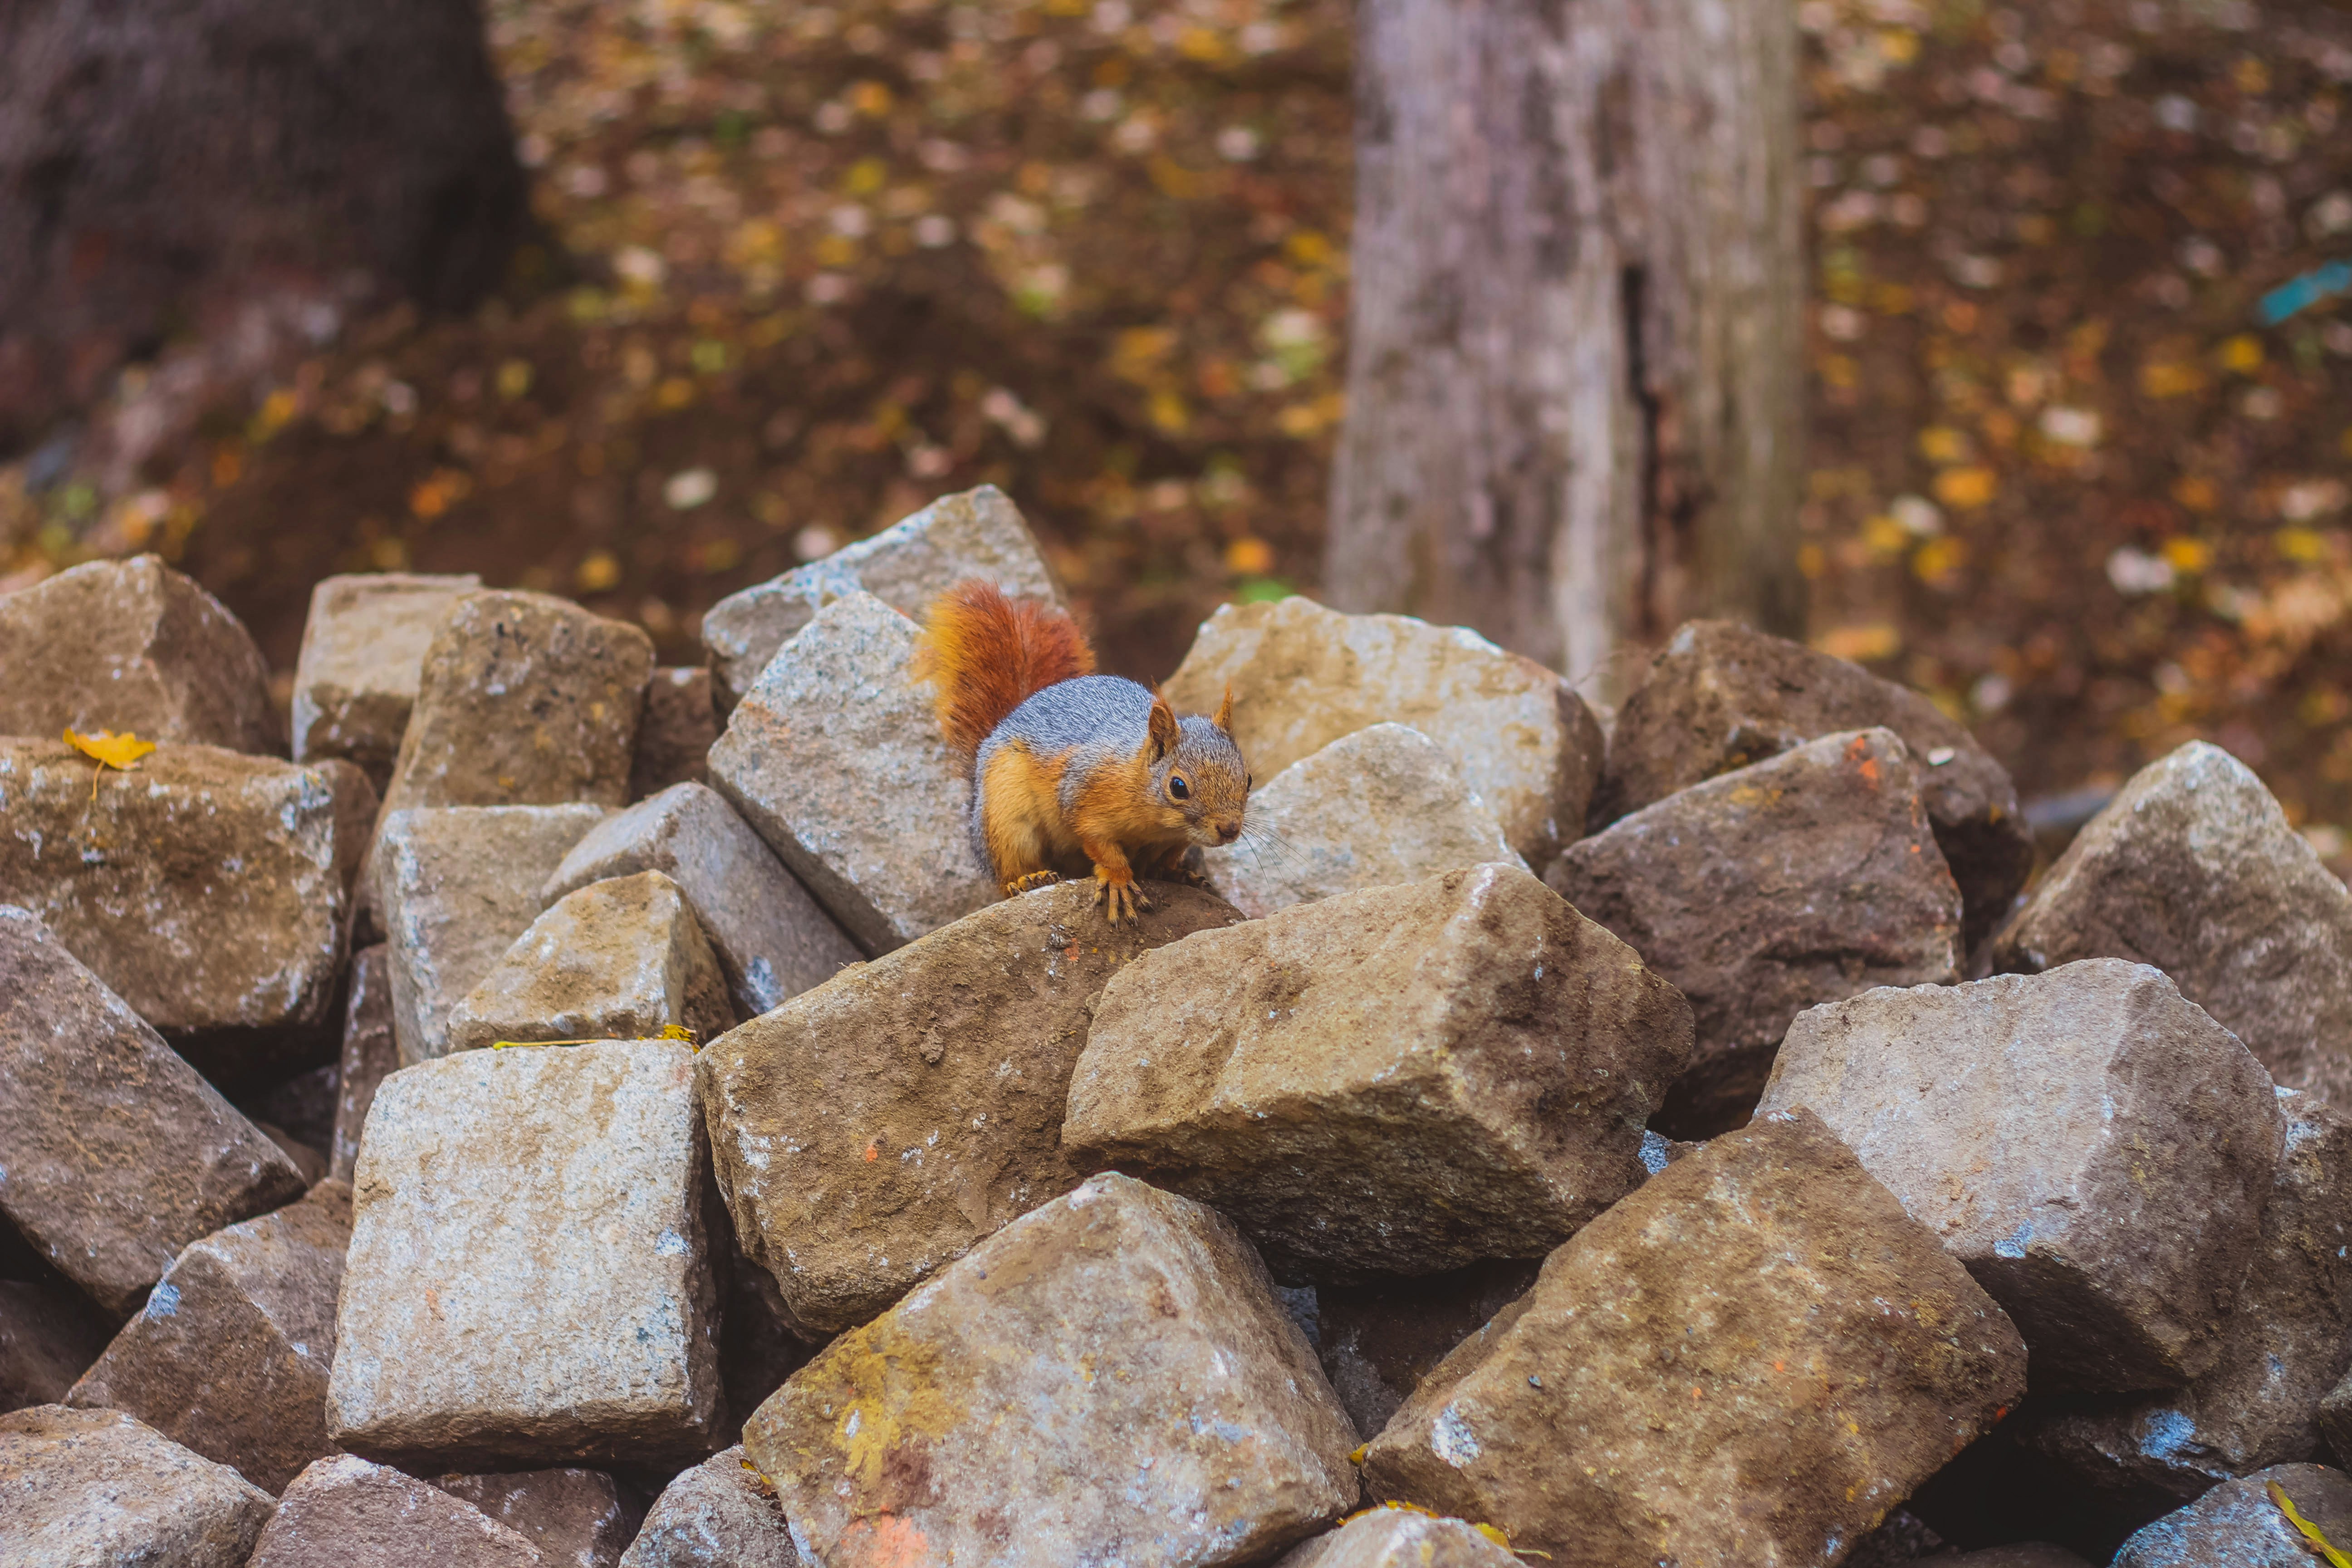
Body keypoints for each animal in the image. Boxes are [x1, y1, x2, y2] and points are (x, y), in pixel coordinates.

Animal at [914, 579, 1251, 925]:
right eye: (1178, 787)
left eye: (1249, 779)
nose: (1230, 829)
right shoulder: (1083, 796)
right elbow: (1103, 847)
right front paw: (1119, 881)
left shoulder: (1177, 841)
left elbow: (1164, 861)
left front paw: (1172, 873)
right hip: (1006, 821)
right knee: (1008, 870)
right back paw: (1028, 880)